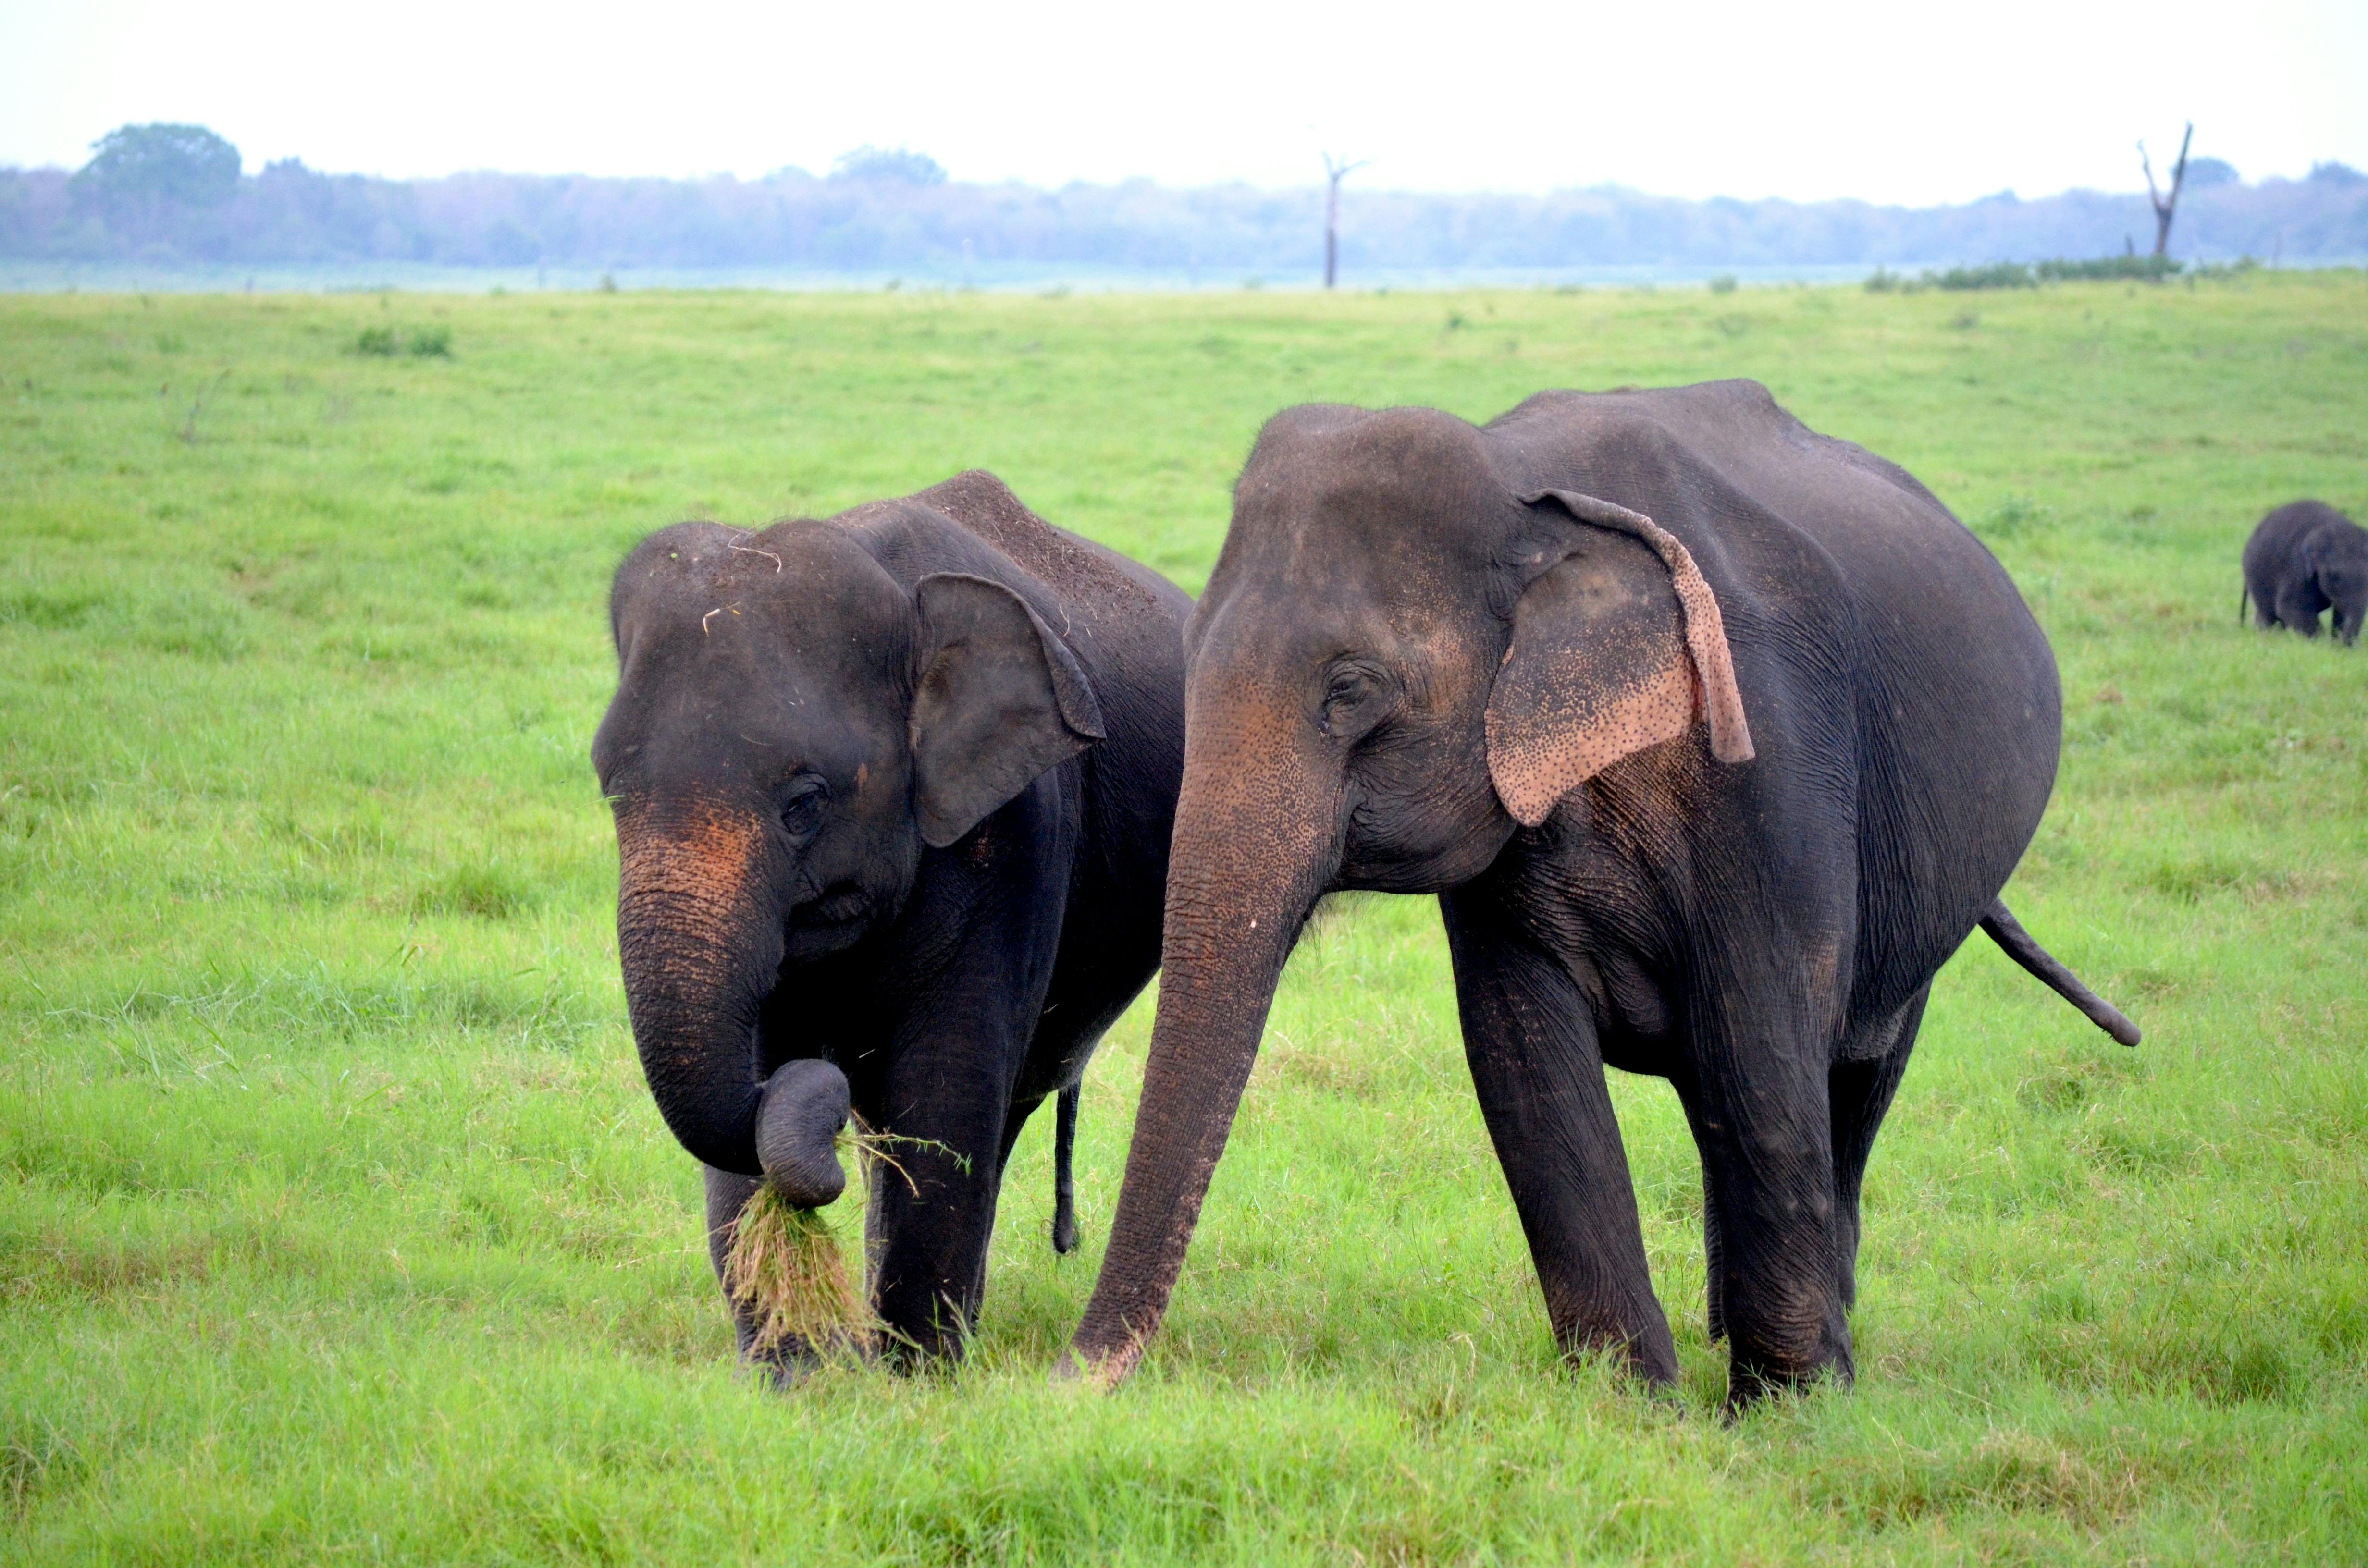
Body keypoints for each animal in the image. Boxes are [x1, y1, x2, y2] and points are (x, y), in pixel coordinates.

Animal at [592, 470, 1189, 1371]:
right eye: (611, 792)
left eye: (804, 804)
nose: (827, 1082)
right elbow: (749, 1093)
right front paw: (791, 1374)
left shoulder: (1018, 830)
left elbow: (944, 1088)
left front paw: (915, 1378)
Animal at [1059, 381, 2138, 1405]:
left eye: (1351, 690)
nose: (1063, 1382)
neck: (1519, 484)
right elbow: (1524, 1061)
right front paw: (1634, 1405)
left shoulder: (1776, 765)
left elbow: (1760, 1044)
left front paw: (1787, 1412)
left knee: (1852, 1071)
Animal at [2242, 499, 2364, 645]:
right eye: (2333, 576)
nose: (2345, 645)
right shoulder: (2296, 570)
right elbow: (2291, 607)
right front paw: (2318, 643)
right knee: (2269, 614)